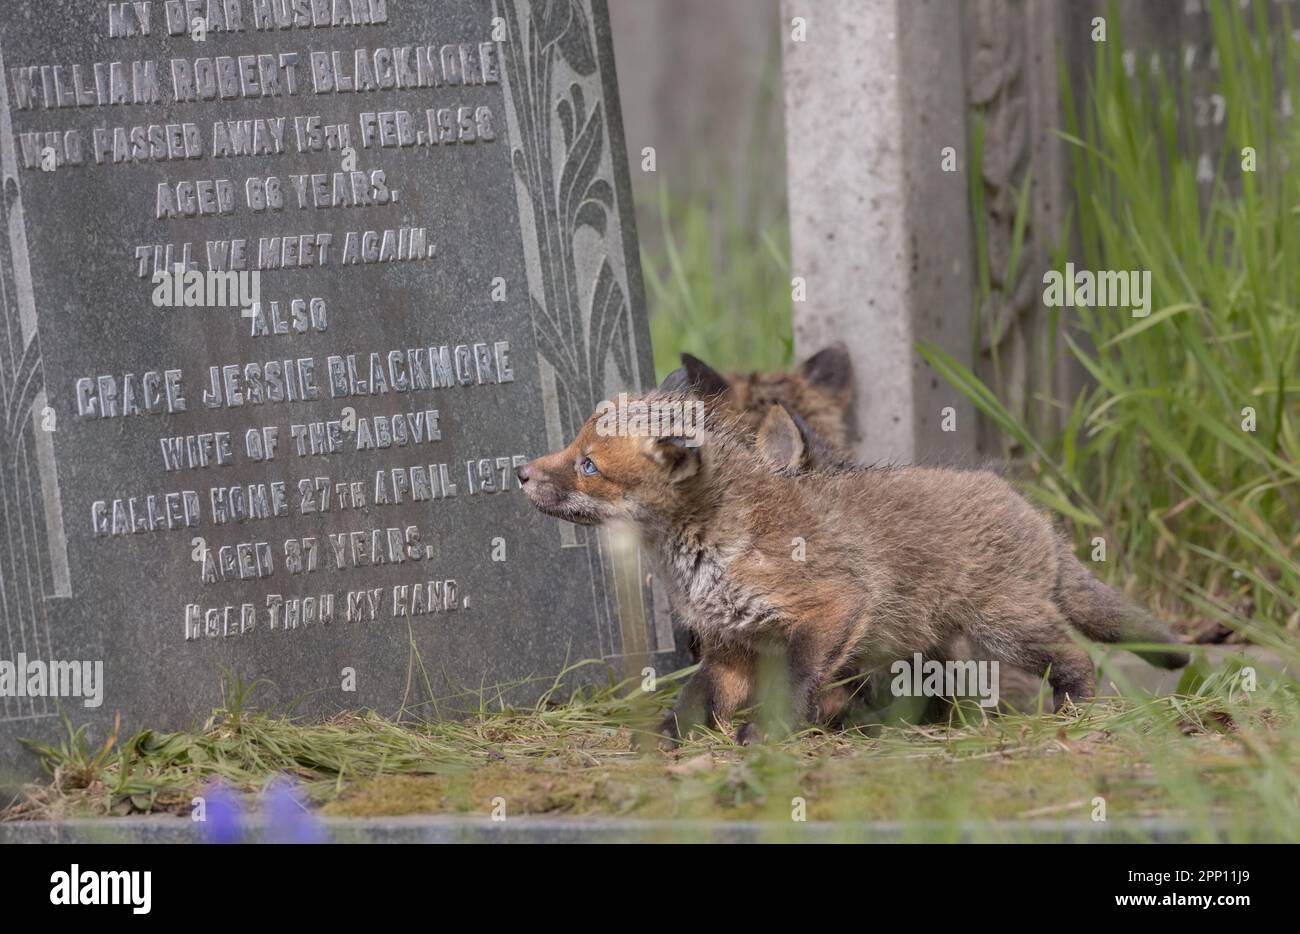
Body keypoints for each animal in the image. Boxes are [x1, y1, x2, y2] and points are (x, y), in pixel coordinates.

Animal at [517, 374, 1190, 744]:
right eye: (575, 447)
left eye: (588, 465)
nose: (520, 472)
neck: (701, 553)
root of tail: (1037, 514)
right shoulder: (729, 644)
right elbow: (693, 702)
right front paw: (663, 741)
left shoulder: (832, 606)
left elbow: (797, 682)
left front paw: (768, 735)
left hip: (1005, 625)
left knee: (1076, 655)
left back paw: (1074, 709)